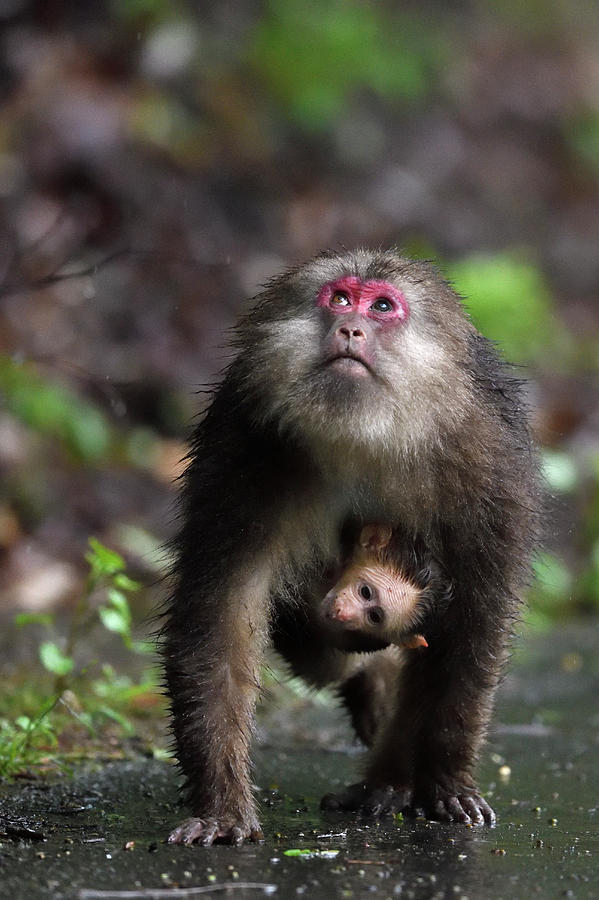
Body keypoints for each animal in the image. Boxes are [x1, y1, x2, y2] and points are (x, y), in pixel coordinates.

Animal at [163, 249, 540, 846]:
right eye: (340, 299)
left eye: (382, 307)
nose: (350, 328)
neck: (368, 430)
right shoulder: (244, 448)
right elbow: (221, 612)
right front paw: (221, 807)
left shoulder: (489, 462)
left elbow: (474, 624)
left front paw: (446, 781)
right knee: (323, 654)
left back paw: (391, 776)